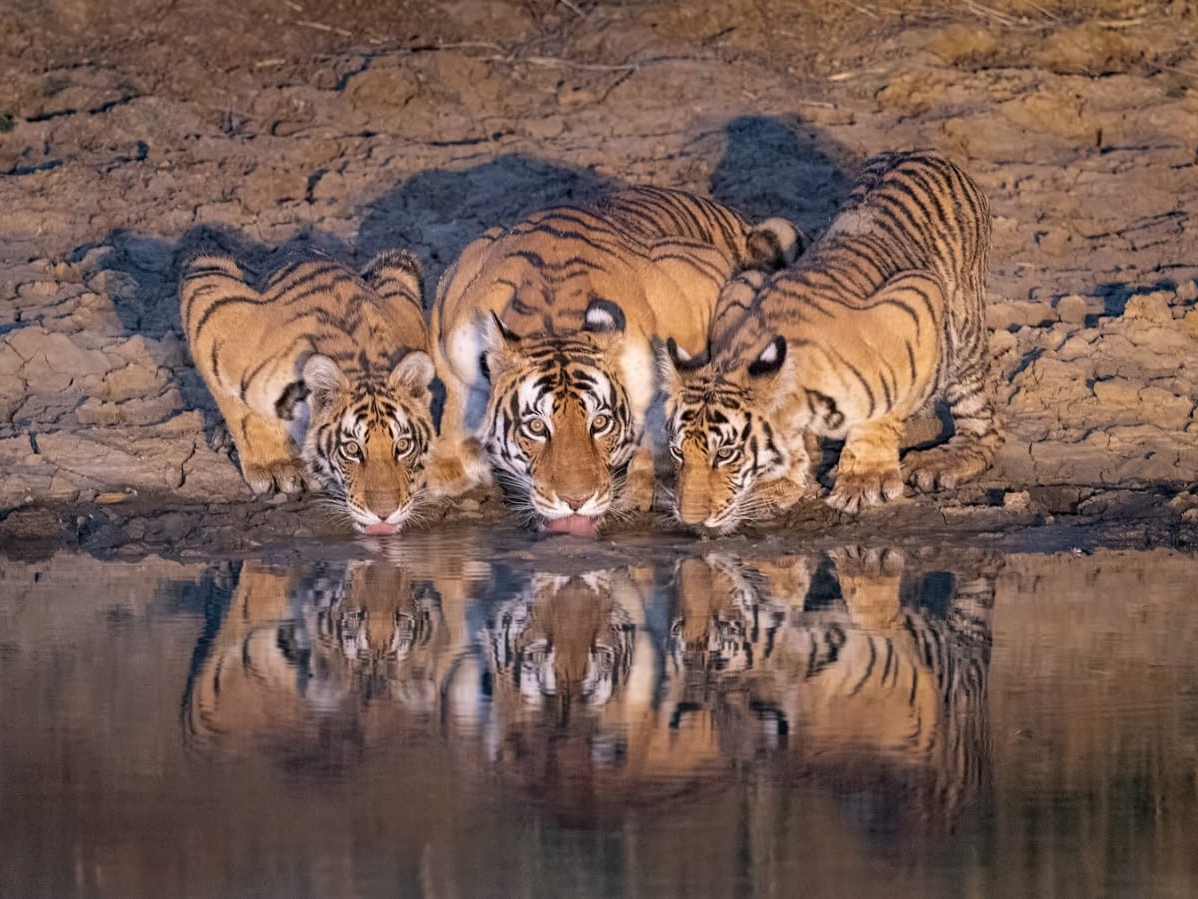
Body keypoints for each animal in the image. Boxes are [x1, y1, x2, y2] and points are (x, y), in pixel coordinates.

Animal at [179, 250, 436, 535]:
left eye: (403, 445)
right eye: (351, 449)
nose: (385, 514)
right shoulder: (208, 299)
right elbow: (240, 411)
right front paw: (274, 466)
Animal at [428, 185, 803, 537]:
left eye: (600, 423)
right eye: (536, 427)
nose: (576, 502)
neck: (555, 320)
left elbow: (659, 411)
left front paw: (643, 487)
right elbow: (454, 398)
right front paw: (445, 472)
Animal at [662, 149, 1002, 531]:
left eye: (724, 454)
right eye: (677, 451)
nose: (691, 520)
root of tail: (919, 152)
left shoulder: (916, 296)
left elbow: (884, 407)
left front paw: (864, 482)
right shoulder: (742, 286)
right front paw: (779, 483)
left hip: (965, 334)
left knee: (984, 426)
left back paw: (942, 461)